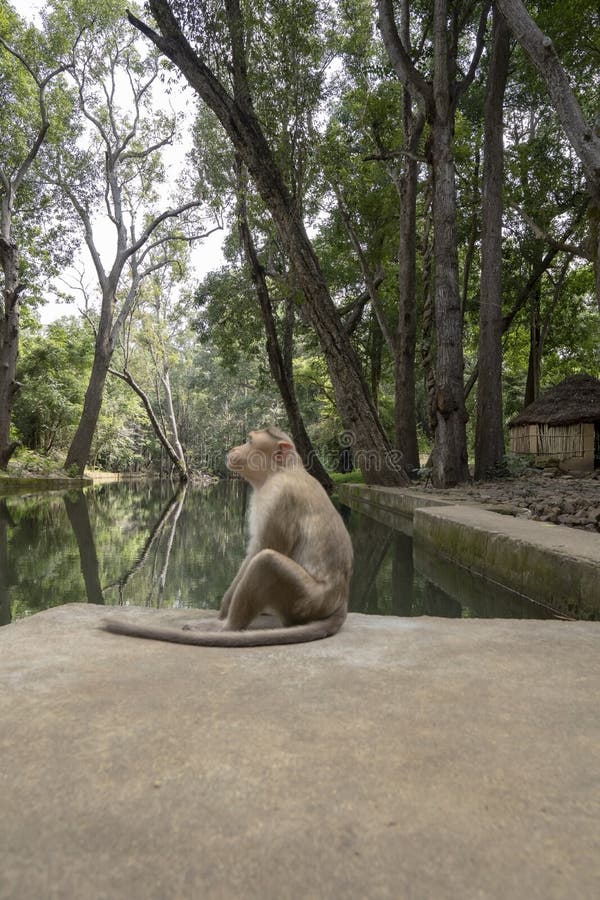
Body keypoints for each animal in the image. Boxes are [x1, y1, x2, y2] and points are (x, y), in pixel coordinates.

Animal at [101, 427, 353, 646]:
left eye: (249, 441)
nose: (234, 448)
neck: (282, 471)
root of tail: (341, 598)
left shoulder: (279, 495)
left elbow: (262, 548)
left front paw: (224, 610)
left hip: (306, 601)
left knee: (266, 561)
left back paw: (227, 627)